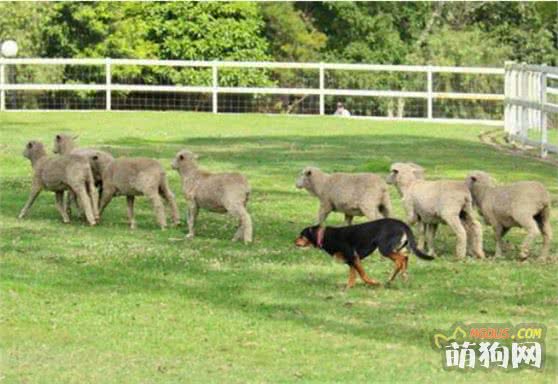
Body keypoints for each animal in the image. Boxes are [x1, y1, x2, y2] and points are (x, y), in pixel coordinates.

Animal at [296, 218, 436, 286]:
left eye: (301, 235)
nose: (294, 241)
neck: (323, 236)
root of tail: (401, 223)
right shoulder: (351, 261)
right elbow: (352, 276)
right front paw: (348, 288)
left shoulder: (353, 257)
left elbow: (362, 275)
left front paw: (373, 283)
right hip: (397, 247)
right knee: (405, 258)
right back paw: (403, 276)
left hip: (384, 248)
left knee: (400, 259)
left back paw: (391, 278)